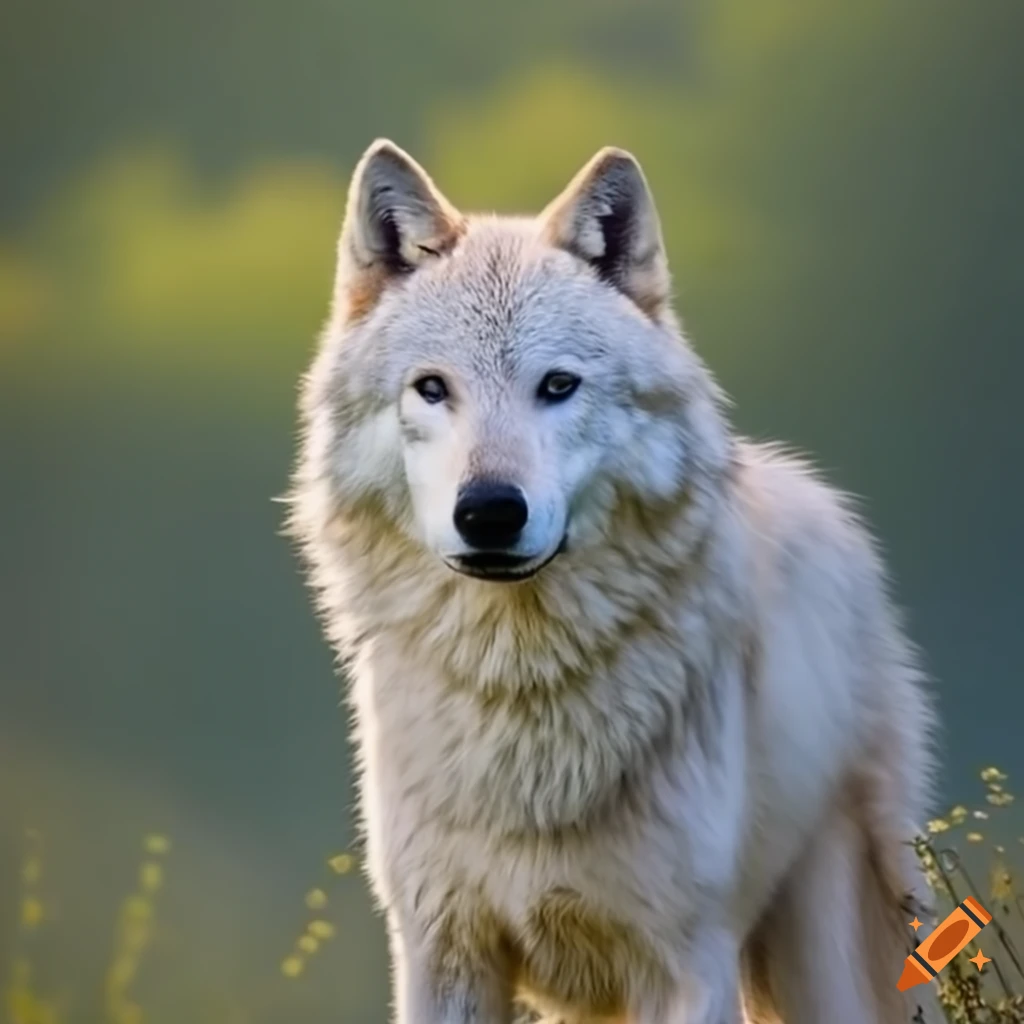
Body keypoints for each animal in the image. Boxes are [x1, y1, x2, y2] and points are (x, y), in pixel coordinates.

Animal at [287, 139, 942, 1023]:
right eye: (432, 388)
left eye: (558, 385)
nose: (489, 511)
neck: (524, 704)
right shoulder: (441, 955)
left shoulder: (683, 965)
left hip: (822, 948)